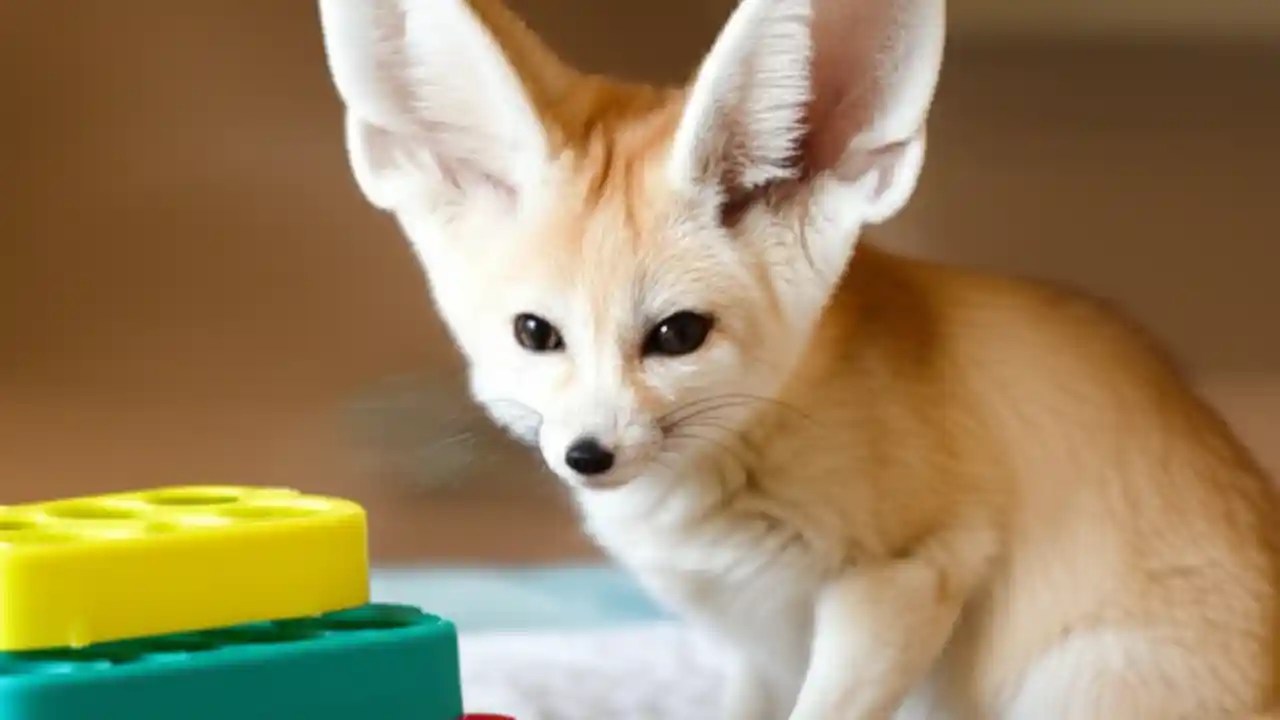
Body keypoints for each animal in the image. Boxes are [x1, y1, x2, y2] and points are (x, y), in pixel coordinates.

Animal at [314, 0, 1280, 717]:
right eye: (534, 333)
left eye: (677, 335)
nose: (587, 455)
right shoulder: (761, 646)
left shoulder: (907, 573)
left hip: (1078, 683)